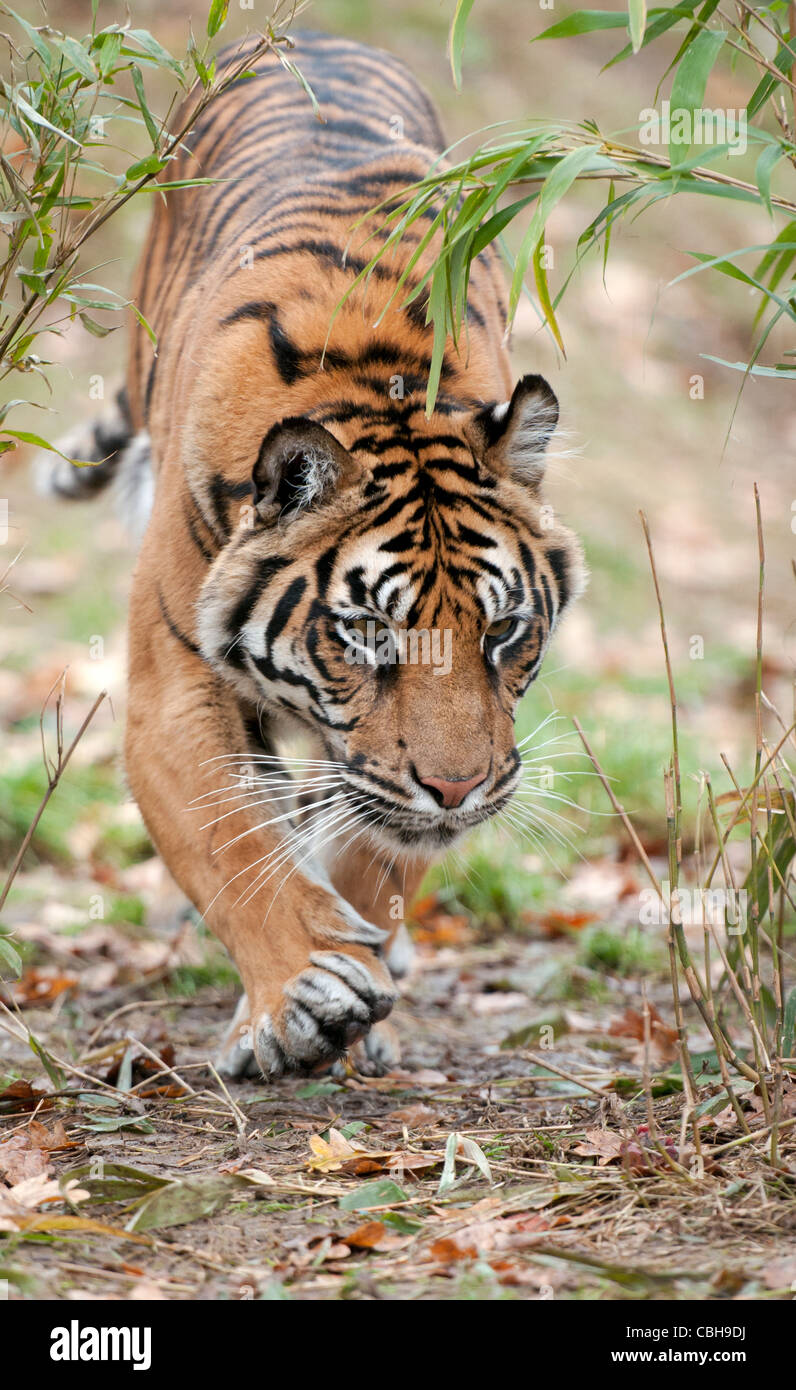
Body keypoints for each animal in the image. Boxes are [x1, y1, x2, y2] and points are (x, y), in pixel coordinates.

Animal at [37, 30, 585, 1079]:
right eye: (366, 632)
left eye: (503, 632)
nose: (458, 789)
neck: (380, 382)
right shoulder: (175, 684)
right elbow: (233, 843)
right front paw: (307, 995)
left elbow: (378, 842)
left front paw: (362, 977)